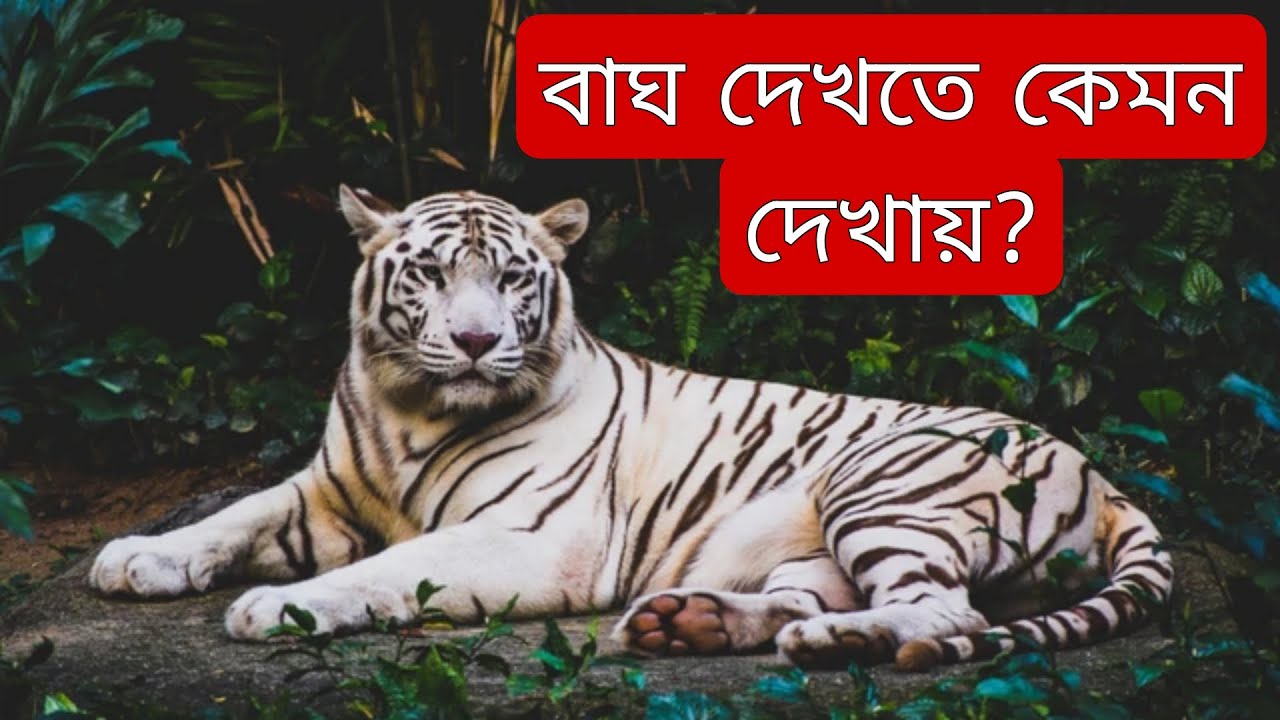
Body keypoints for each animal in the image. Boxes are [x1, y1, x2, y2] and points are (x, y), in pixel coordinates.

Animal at [89, 186, 1173, 671]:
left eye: (511, 278)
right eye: (431, 274)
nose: (476, 342)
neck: (412, 409)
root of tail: (1104, 478)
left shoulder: (533, 537)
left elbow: (390, 568)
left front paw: (279, 608)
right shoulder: (326, 489)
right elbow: (233, 512)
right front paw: (137, 557)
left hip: (880, 484)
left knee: (948, 613)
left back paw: (836, 642)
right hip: (815, 541)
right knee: (819, 595)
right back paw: (689, 621)